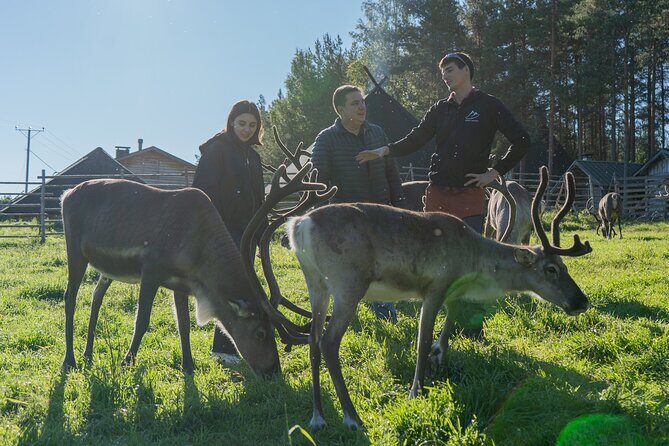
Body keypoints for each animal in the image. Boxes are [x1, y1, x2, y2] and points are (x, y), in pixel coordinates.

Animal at [61, 129, 333, 377]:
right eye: (260, 332)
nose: (273, 371)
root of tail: (65, 194)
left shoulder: (180, 282)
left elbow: (184, 324)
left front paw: (189, 366)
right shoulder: (151, 269)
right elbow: (142, 320)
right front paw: (127, 363)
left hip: (106, 269)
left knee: (96, 296)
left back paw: (87, 354)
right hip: (74, 249)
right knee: (69, 297)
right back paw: (69, 360)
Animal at [286, 166, 592, 431]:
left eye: (565, 267)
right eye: (551, 269)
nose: (582, 301)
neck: (473, 260)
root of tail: (299, 225)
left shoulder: (451, 290)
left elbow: (451, 318)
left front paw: (440, 354)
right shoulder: (435, 287)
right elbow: (421, 343)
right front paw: (415, 391)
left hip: (316, 284)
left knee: (312, 339)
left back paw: (318, 417)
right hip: (348, 284)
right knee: (328, 342)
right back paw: (352, 417)